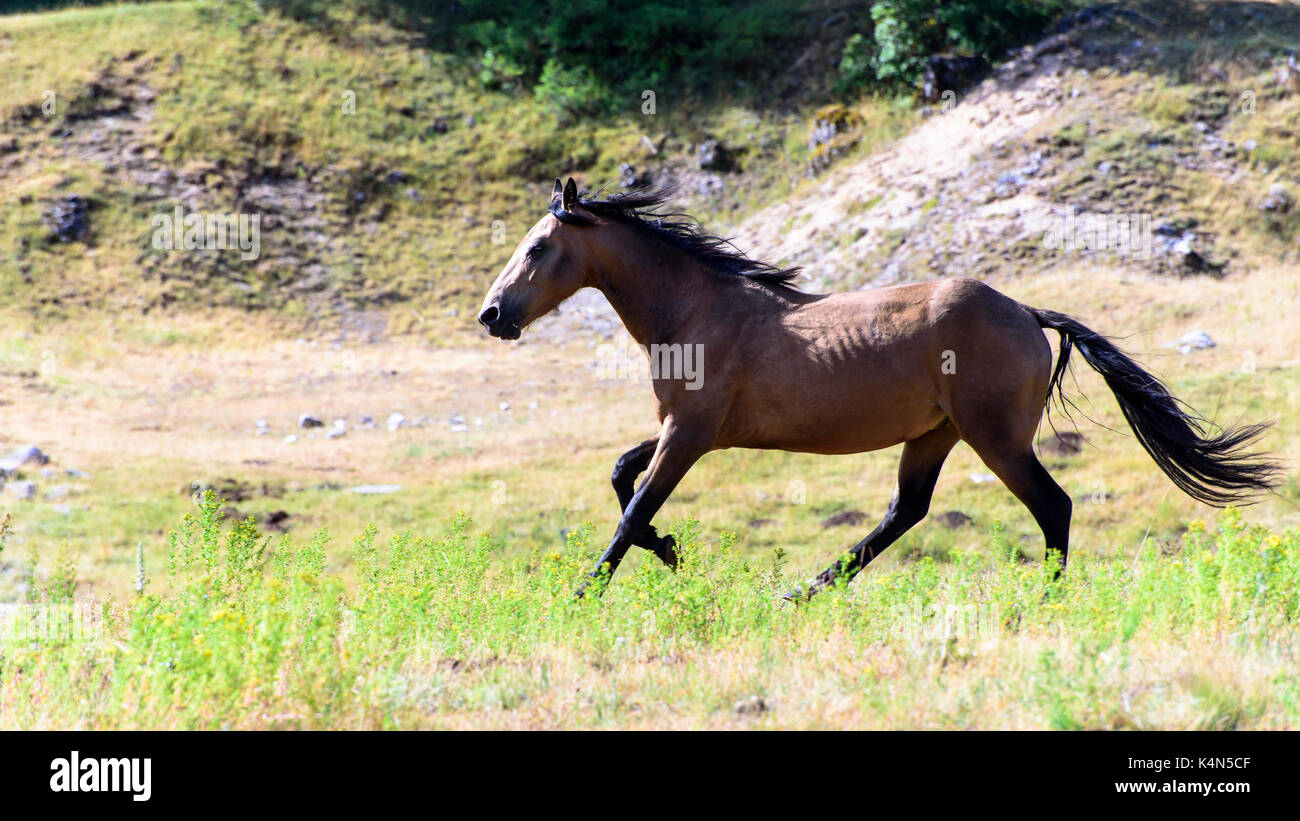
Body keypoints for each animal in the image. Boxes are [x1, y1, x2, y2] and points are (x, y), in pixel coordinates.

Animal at [478, 178, 1280, 599]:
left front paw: (585, 594)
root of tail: (1027, 313)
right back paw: (801, 592)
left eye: (539, 247)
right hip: (935, 435)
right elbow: (623, 476)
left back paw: (1042, 602)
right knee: (907, 510)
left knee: (1052, 506)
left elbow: (634, 504)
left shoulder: (692, 433)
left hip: (993, 438)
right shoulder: (693, 428)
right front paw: (674, 552)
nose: (492, 314)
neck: (698, 308)